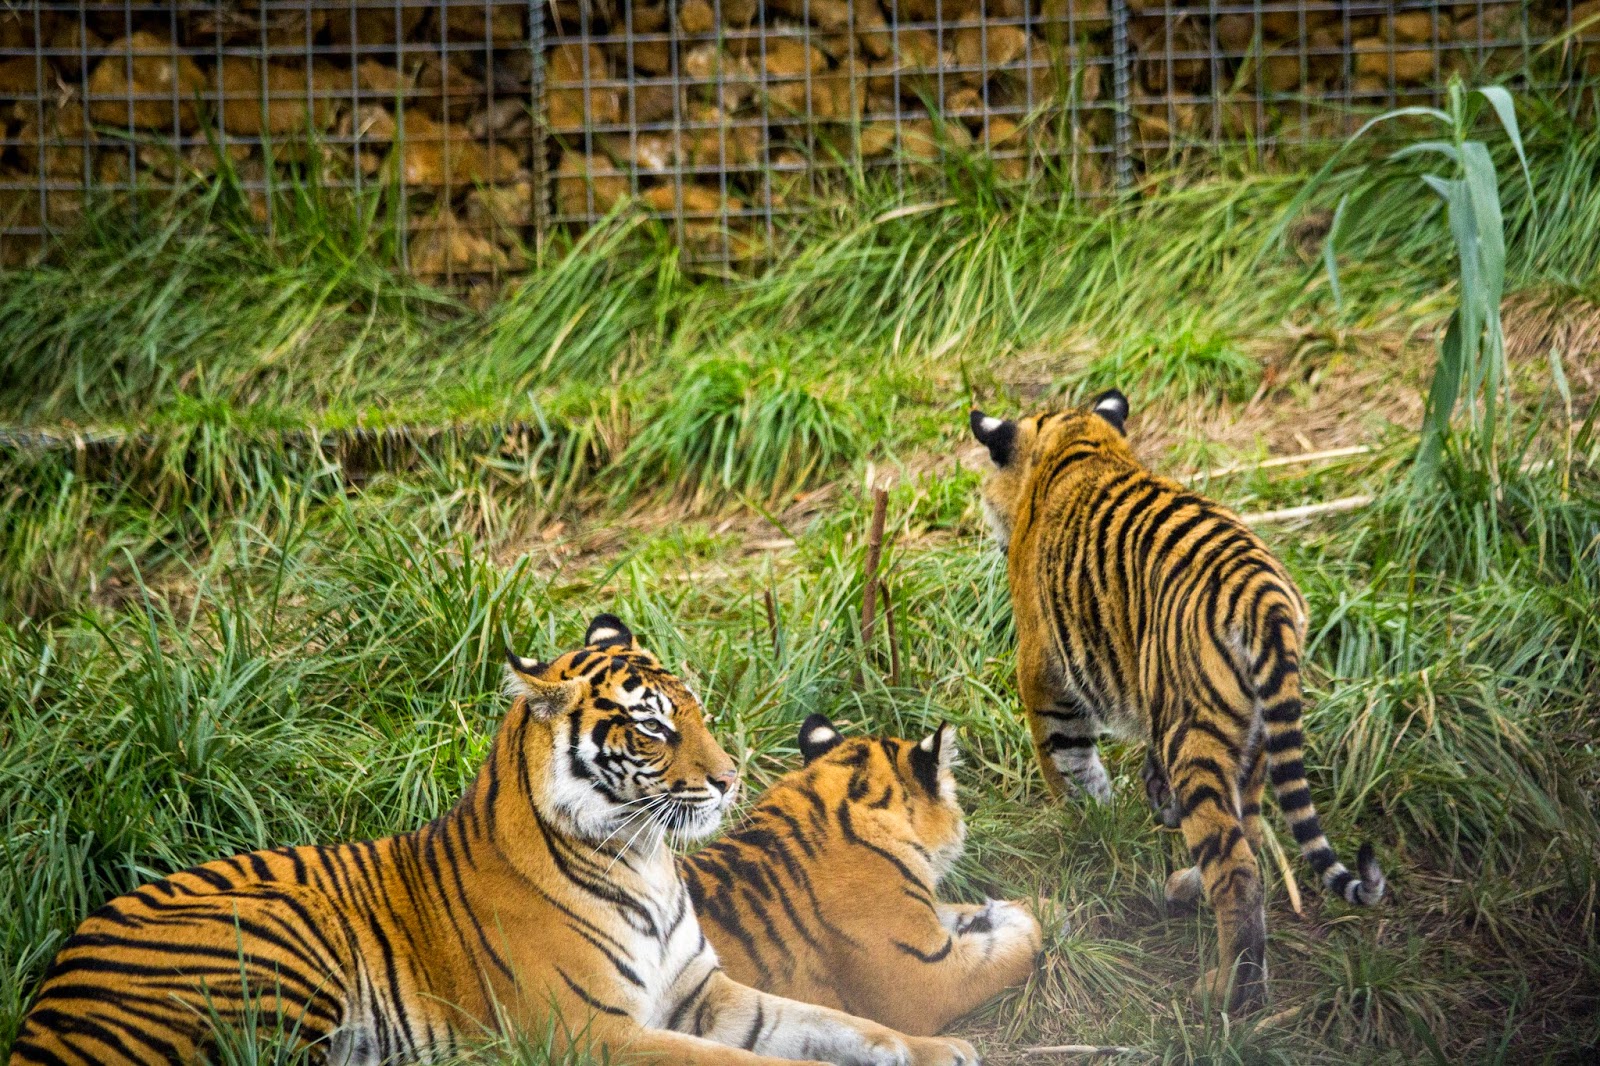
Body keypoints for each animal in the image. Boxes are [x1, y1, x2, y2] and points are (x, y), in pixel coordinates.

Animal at [9, 614, 979, 1066]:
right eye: (655, 729)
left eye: (698, 707)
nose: (732, 777)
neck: (642, 858)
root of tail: (52, 988)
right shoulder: (592, 1031)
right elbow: (756, 1063)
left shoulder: (703, 992)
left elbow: (842, 1024)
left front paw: (944, 1050)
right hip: (278, 949)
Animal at [968, 390, 1385, 1012]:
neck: (1075, 440)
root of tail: (1267, 599)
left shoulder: (1043, 669)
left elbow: (1066, 760)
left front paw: (1085, 824)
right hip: (1255, 741)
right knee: (1250, 830)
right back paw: (1191, 892)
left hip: (1196, 737)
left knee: (1237, 868)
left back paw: (1226, 988)